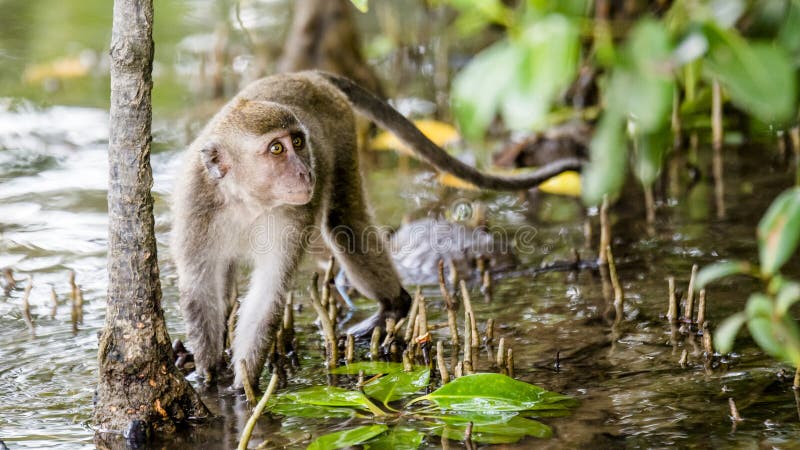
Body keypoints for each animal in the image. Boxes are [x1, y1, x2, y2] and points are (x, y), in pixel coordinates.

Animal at [171, 70, 583, 390]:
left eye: (298, 142)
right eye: (276, 149)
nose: (305, 172)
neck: (245, 199)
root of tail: (304, 75)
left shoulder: (292, 213)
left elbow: (268, 296)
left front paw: (241, 388)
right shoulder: (194, 202)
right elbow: (199, 286)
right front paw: (207, 373)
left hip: (339, 129)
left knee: (345, 224)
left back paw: (393, 308)